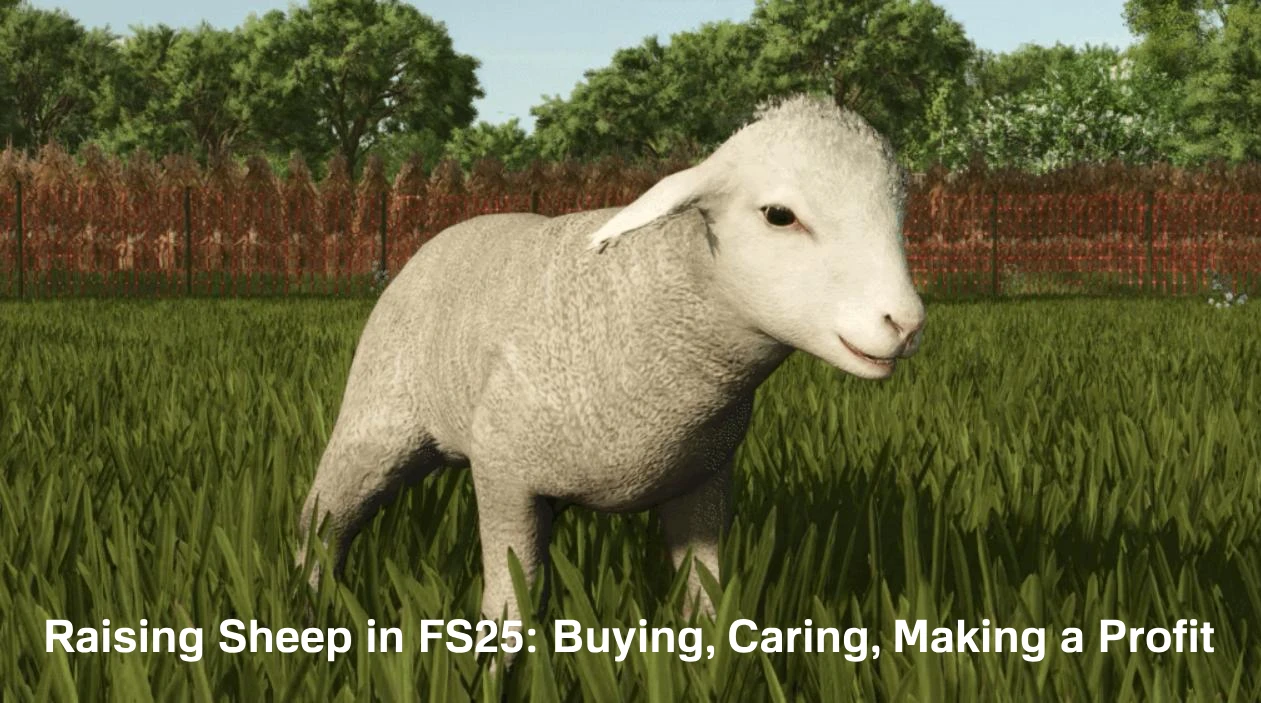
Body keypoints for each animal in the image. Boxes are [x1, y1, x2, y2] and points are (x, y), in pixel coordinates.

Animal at [296, 93, 925, 653]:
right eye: (779, 215)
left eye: (899, 213)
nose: (906, 322)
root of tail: (448, 233)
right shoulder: (504, 477)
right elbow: (509, 613)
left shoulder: (704, 484)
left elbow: (706, 602)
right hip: (378, 425)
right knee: (323, 521)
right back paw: (310, 606)